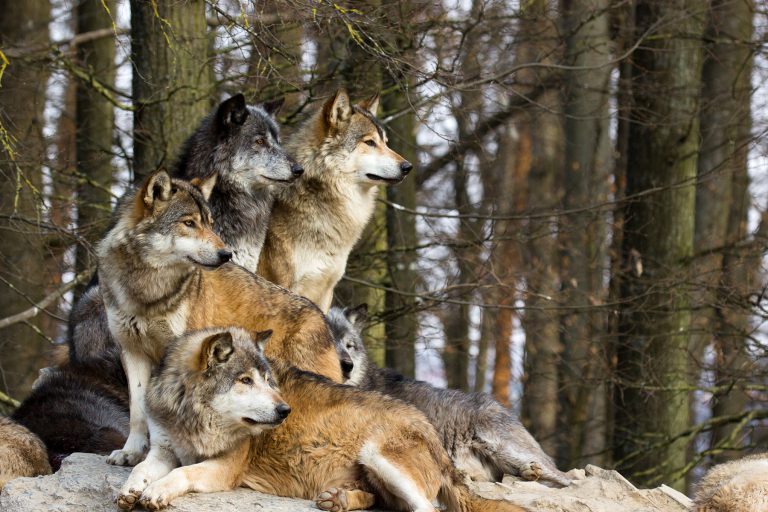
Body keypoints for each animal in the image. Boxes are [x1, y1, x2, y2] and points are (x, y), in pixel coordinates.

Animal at [98, 170, 343, 467]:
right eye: (189, 223)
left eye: (211, 224)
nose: (226, 254)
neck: (149, 292)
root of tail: (321, 316)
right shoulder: (132, 351)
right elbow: (137, 411)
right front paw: (131, 452)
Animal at [116, 327, 528, 512]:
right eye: (245, 381)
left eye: (268, 380)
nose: (284, 411)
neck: (192, 418)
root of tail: (436, 438)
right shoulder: (163, 449)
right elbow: (141, 469)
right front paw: (131, 490)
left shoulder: (225, 468)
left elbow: (182, 473)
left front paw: (155, 493)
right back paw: (339, 499)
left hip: (379, 455)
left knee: (426, 510)